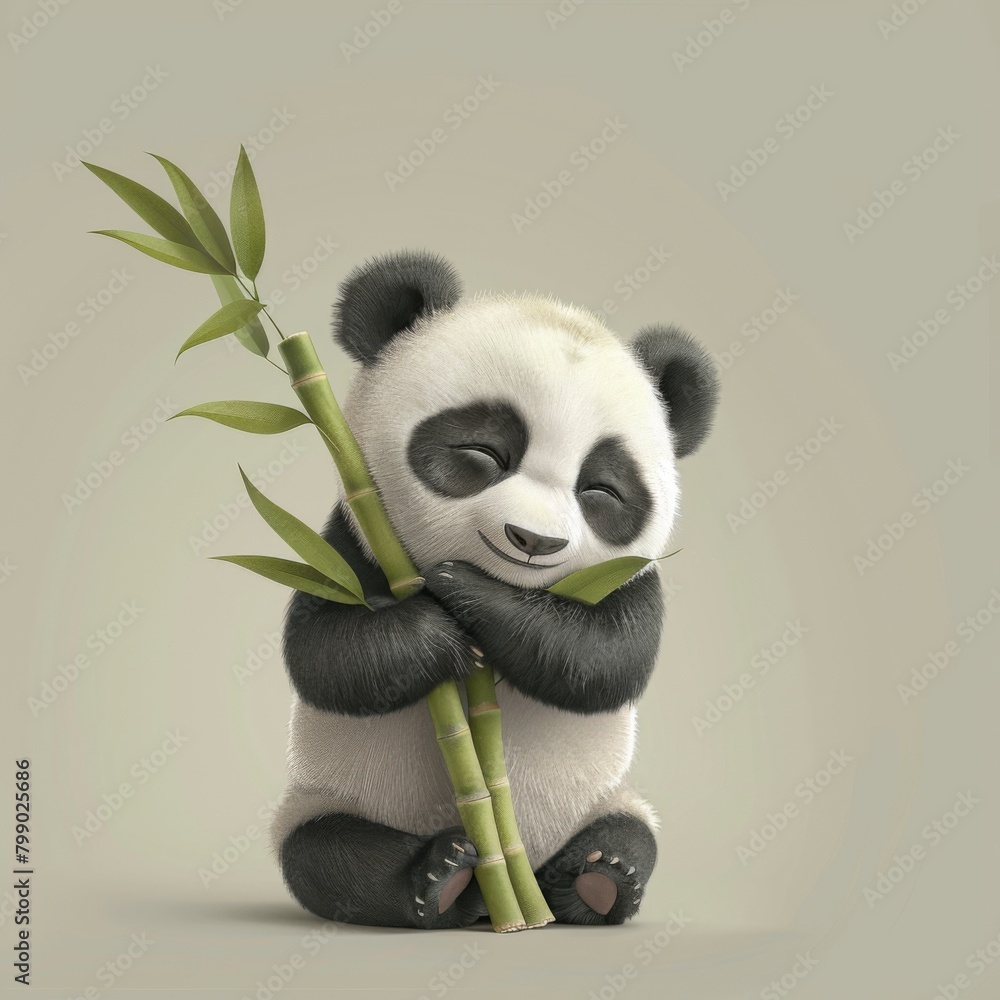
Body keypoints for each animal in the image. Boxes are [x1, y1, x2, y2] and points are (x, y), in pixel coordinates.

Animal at [269, 250, 719, 929]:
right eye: (483, 451)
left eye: (601, 490)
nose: (532, 540)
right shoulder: (350, 541)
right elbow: (328, 655)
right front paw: (437, 620)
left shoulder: (632, 579)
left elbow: (605, 662)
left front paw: (470, 596)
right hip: (323, 800)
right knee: (333, 860)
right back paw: (442, 877)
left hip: (608, 797)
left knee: (631, 834)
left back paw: (599, 880)